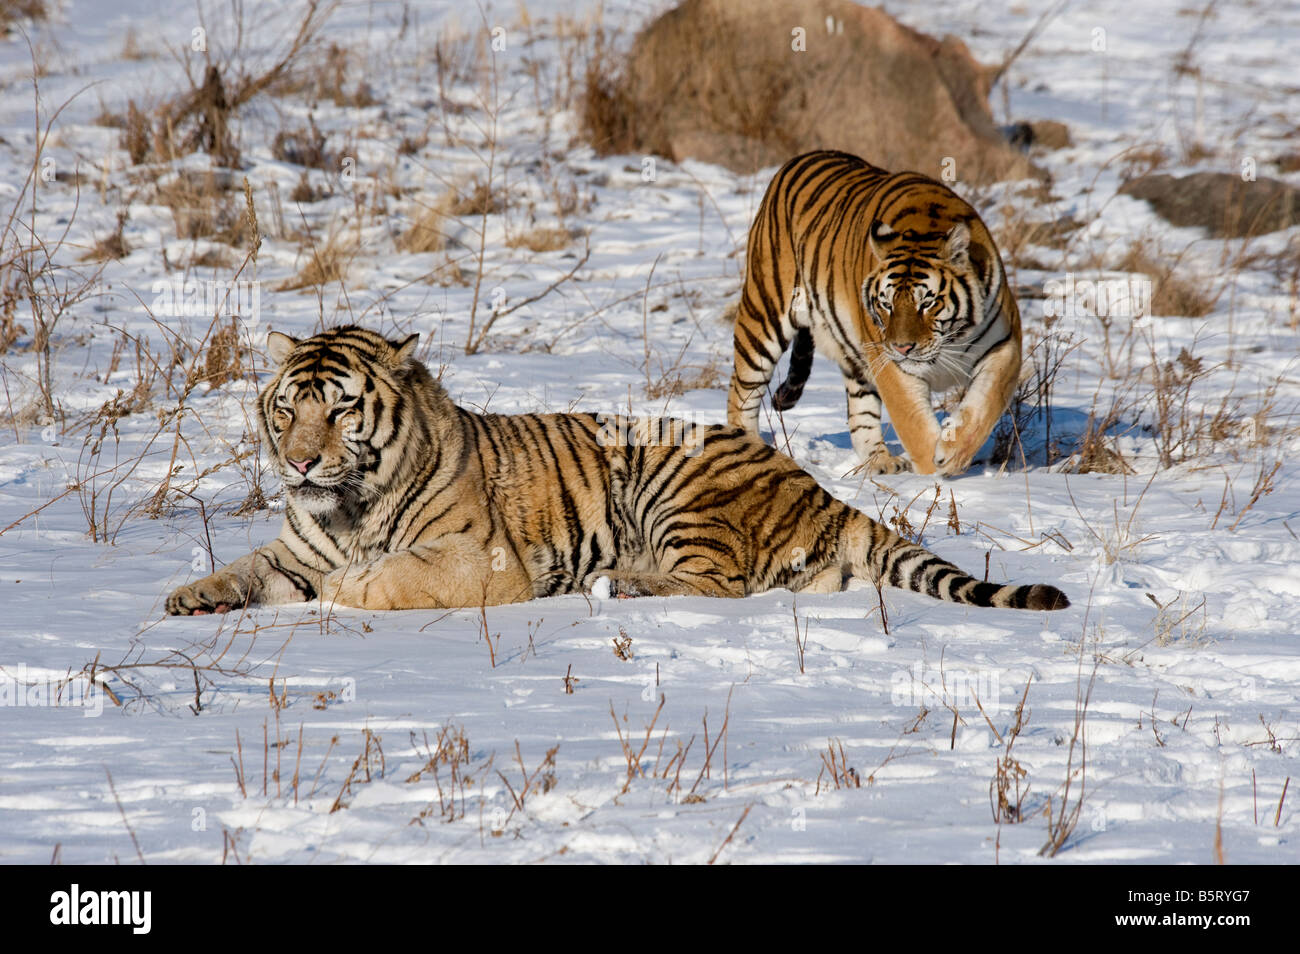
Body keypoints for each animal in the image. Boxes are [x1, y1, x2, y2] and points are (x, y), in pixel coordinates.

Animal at [165, 325, 1067, 616]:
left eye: (342, 409)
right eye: (287, 409)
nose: (299, 459)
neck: (346, 506)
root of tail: (818, 489)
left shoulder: (481, 561)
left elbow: (393, 577)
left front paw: (349, 590)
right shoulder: (293, 550)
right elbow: (245, 568)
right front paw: (185, 597)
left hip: (678, 492)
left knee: (718, 584)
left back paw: (620, 582)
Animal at [727, 150, 1022, 476]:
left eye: (926, 303)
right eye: (887, 304)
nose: (903, 347)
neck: (951, 340)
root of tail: (803, 157)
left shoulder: (1005, 345)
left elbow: (984, 406)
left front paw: (953, 454)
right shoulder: (892, 365)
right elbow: (915, 426)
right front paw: (934, 475)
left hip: (854, 359)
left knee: (860, 414)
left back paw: (881, 462)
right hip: (762, 316)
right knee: (741, 392)